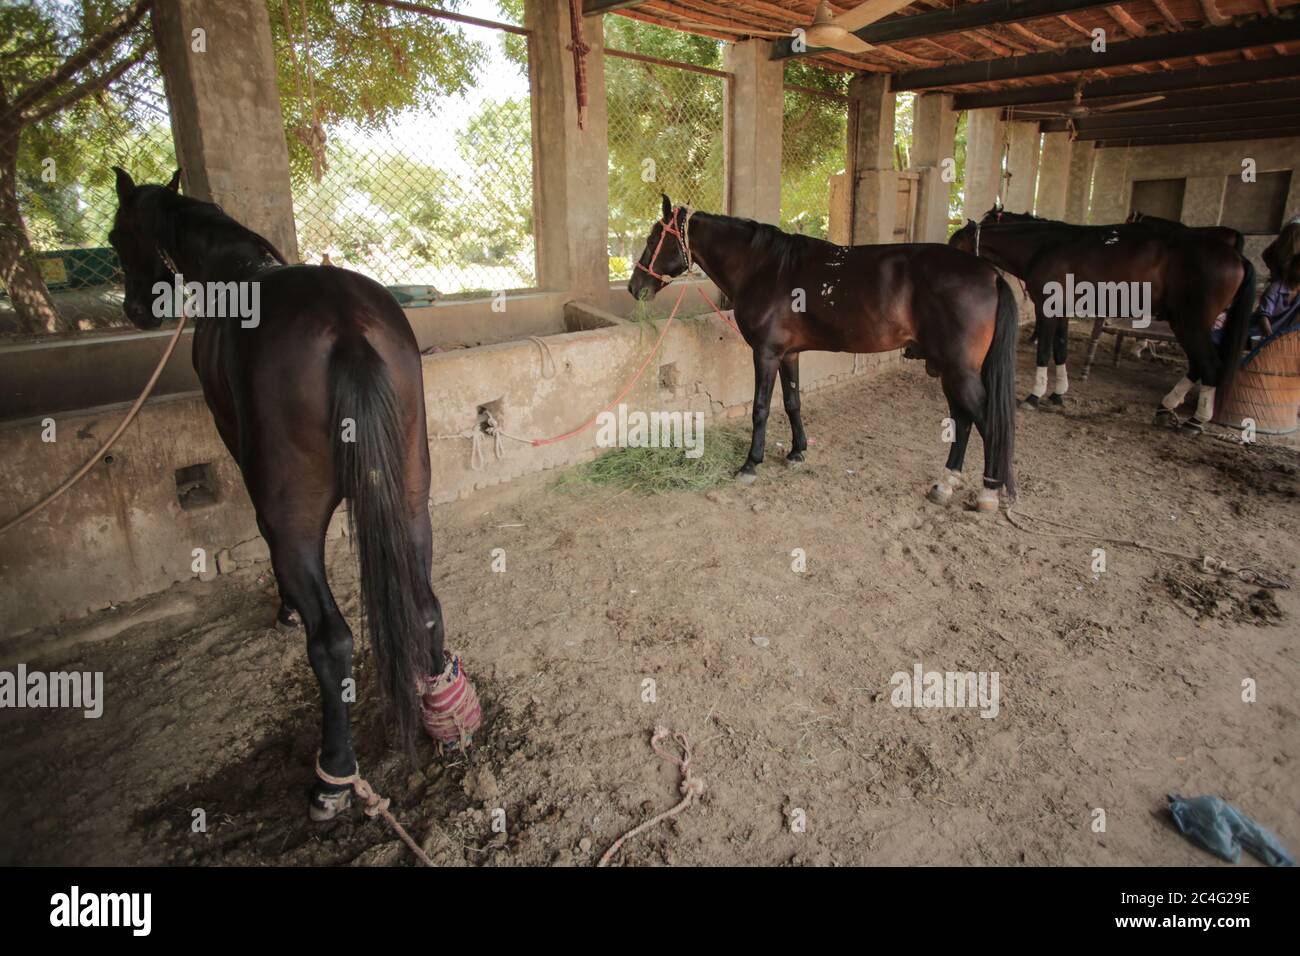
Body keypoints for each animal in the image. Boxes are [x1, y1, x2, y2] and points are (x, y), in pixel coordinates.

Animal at [108, 167, 445, 821]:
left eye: (115, 237)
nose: (138, 309)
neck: (230, 268)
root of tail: (347, 326)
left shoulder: (230, 433)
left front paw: (285, 606)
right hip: (410, 492)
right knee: (424, 605)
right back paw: (445, 703)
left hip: (294, 515)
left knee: (332, 641)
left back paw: (334, 774)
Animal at [627, 194, 1018, 511]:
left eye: (652, 239)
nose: (634, 287)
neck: (764, 267)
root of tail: (991, 275)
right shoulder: (789, 355)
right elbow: (792, 402)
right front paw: (797, 451)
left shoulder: (766, 354)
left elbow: (761, 408)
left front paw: (751, 463)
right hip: (948, 369)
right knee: (963, 420)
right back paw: (946, 484)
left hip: (958, 371)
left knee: (985, 421)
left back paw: (988, 493)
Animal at [950, 209, 1256, 433]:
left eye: (955, 245)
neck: (1044, 245)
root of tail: (1237, 256)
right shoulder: (1063, 310)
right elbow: (1061, 349)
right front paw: (1058, 394)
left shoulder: (1048, 309)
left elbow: (1044, 351)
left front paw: (1035, 396)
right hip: (1186, 323)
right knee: (1198, 365)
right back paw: (1167, 406)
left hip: (1191, 322)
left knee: (1210, 365)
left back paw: (1195, 420)